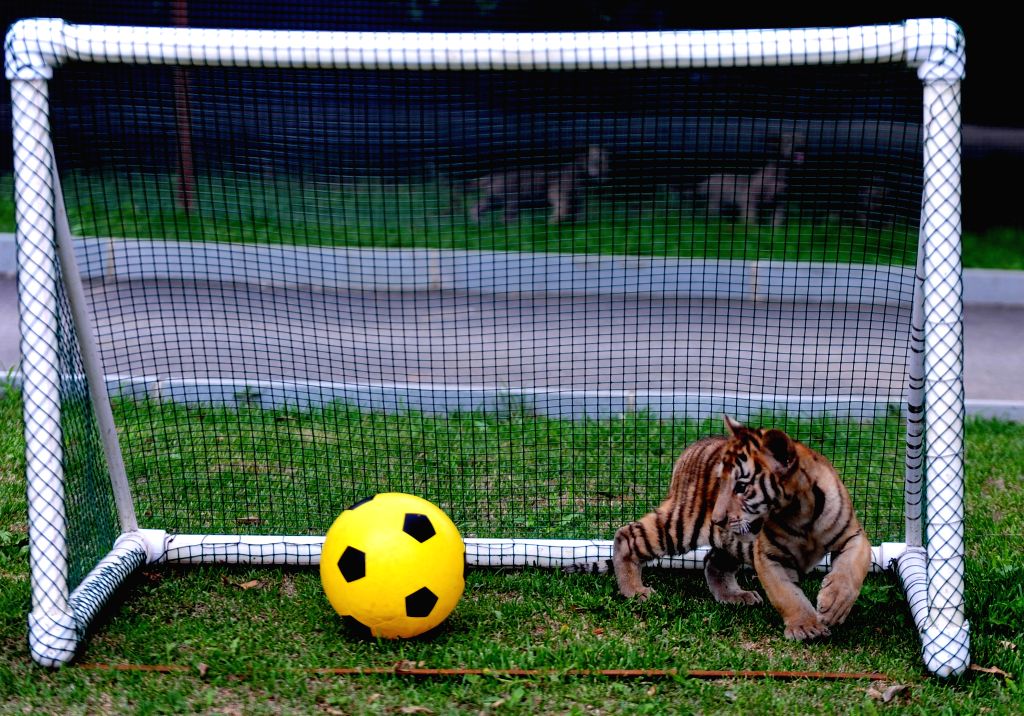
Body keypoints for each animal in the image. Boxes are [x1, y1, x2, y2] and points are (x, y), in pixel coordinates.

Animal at [612, 416, 872, 641]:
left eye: (741, 487)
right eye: (721, 483)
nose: (717, 519)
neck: (800, 514)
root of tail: (695, 444)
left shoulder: (853, 535)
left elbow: (851, 570)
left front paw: (833, 605)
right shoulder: (768, 556)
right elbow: (787, 594)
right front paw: (805, 626)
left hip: (729, 542)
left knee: (713, 562)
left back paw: (735, 596)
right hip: (680, 526)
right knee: (627, 535)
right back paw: (635, 591)